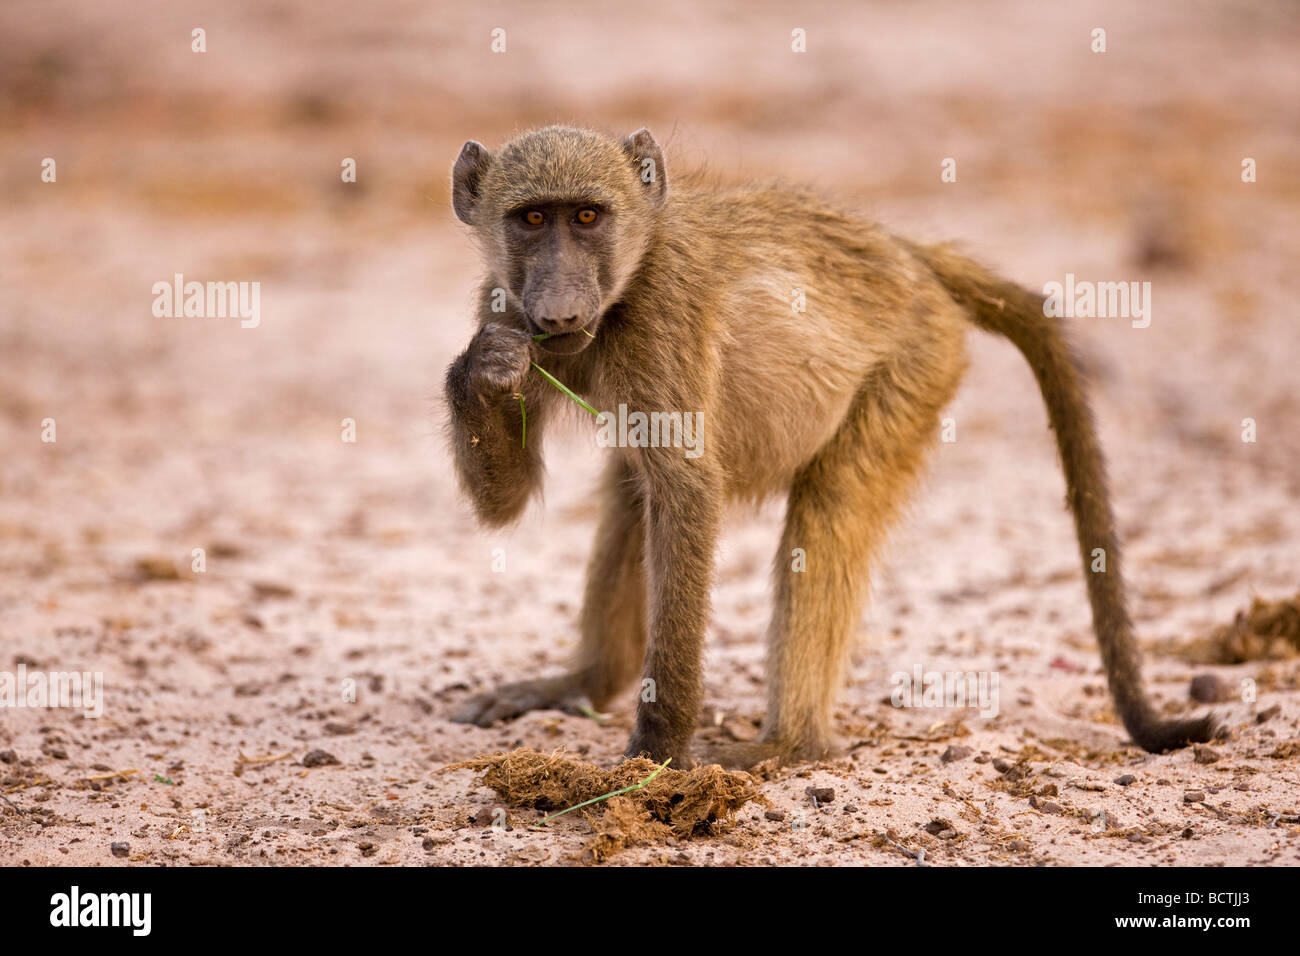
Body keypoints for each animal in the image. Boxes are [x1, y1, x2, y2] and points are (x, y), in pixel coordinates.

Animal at [443, 125, 1217, 768]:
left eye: (587, 218)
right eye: (532, 219)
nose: (560, 310)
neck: (632, 270)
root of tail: (908, 255)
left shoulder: (663, 317)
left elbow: (689, 494)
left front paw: (656, 758)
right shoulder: (502, 305)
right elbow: (512, 502)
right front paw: (483, 370)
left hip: (918, 361)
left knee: (827, 508)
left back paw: (787, 746)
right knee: (631, 488)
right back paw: (587, 681)